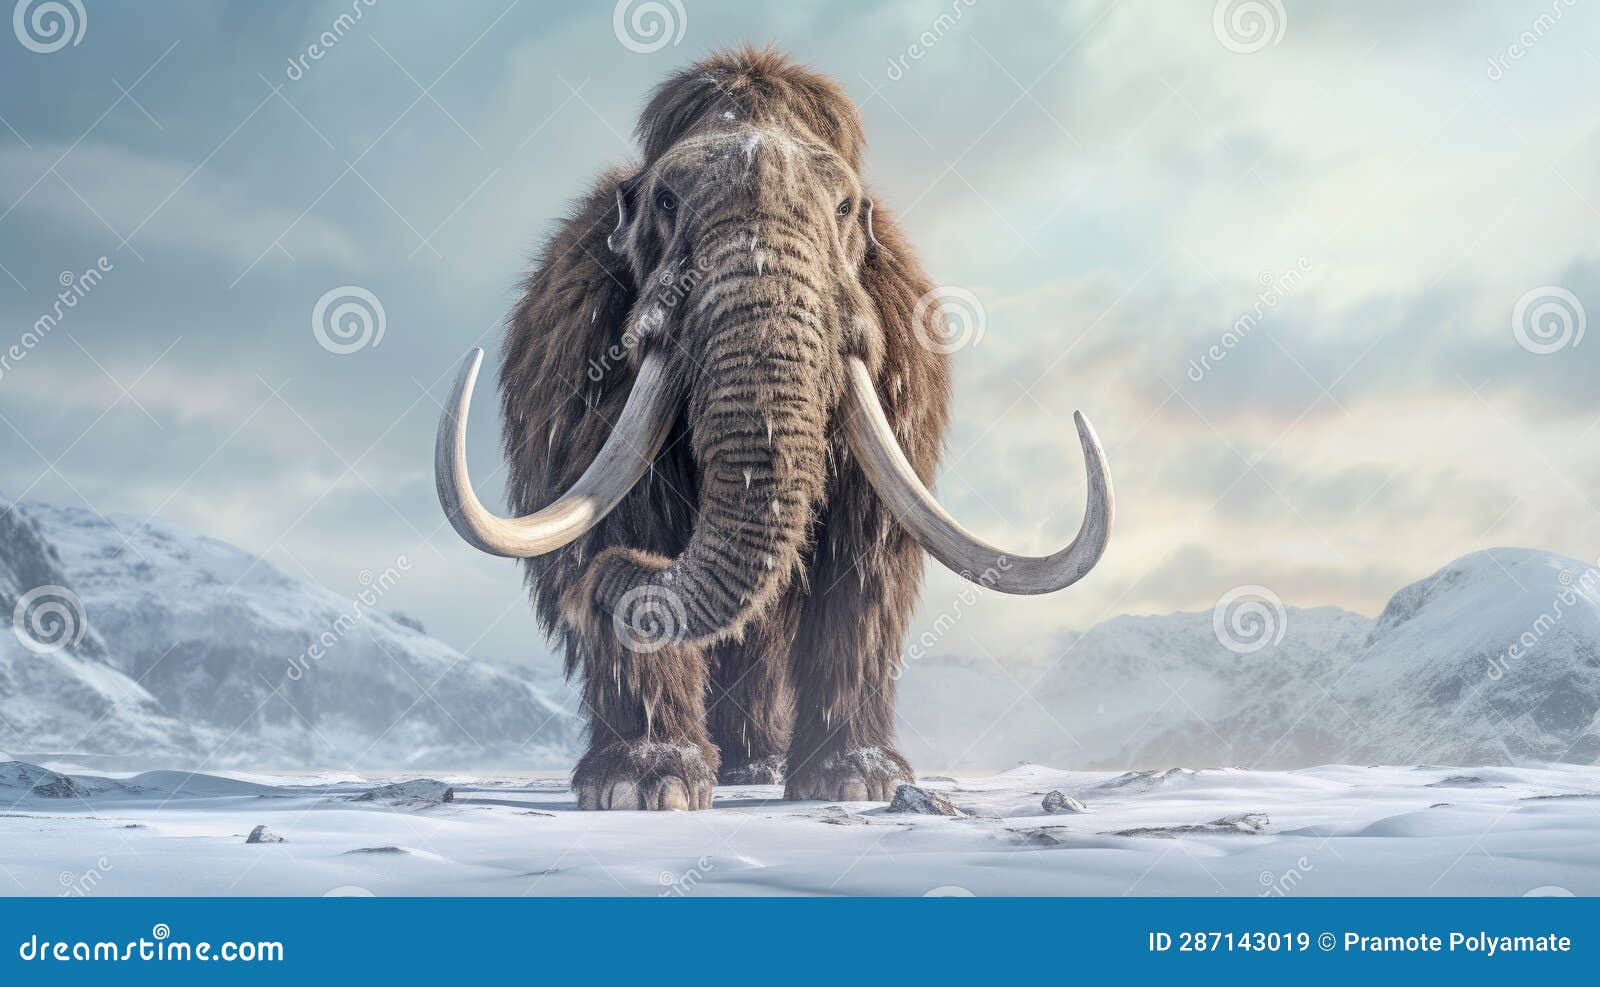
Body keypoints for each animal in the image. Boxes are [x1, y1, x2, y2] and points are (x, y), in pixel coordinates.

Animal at [434, 46, 1113, 810]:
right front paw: (645, 785)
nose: (623, 576)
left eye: (844, 206)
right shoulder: (582, 370)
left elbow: (863, 556)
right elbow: (618, 517)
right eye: (667, 201)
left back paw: (757, 769)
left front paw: (855, 781)